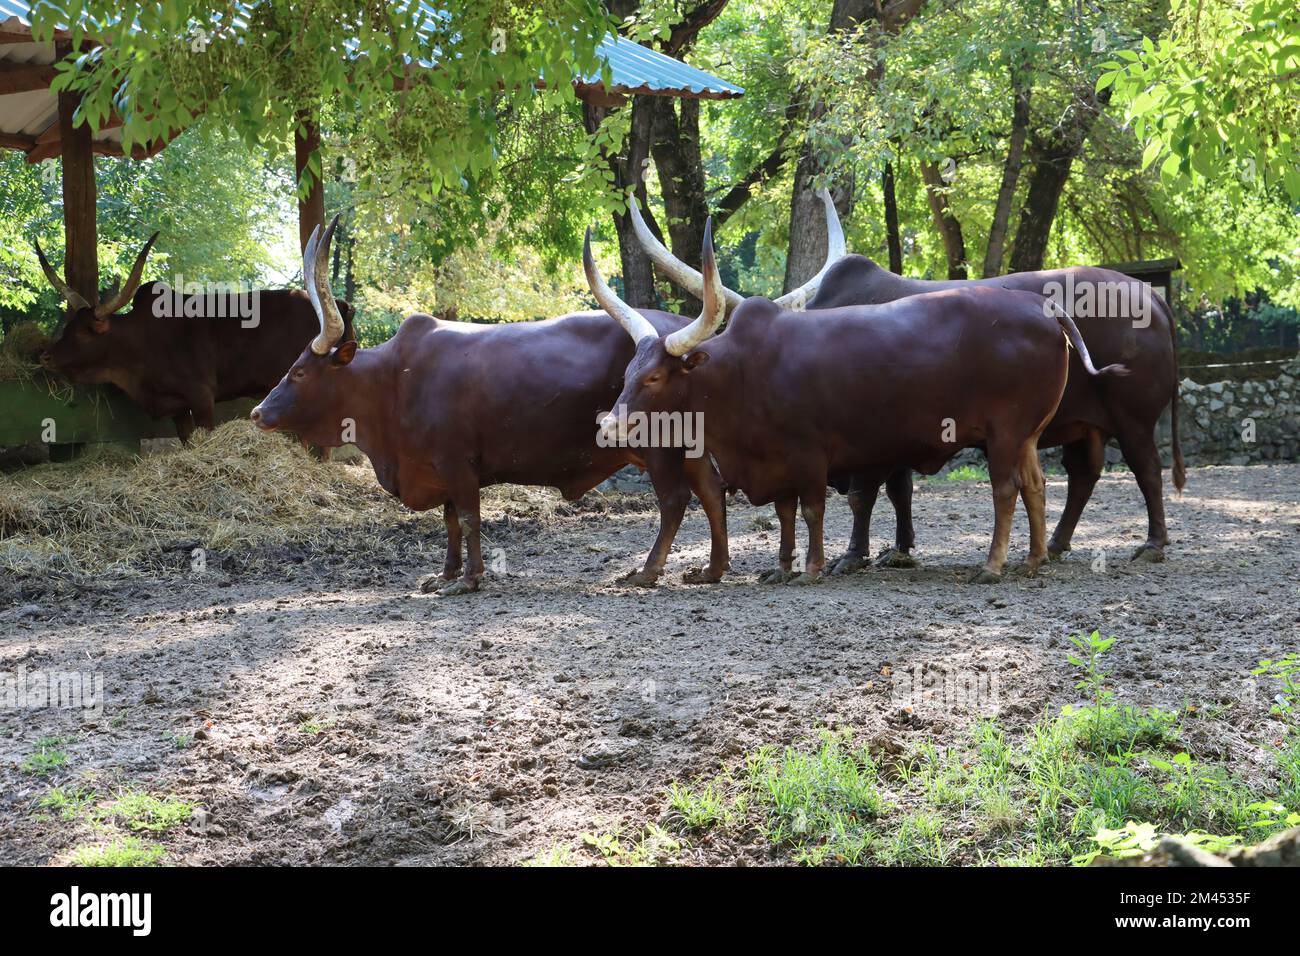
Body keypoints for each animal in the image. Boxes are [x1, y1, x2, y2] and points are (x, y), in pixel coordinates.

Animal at [36, 235, 354, 443]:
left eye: (83, 331)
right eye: (68, 324)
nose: (46, 356)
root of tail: (341, 305)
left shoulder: (202, 397)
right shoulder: (178, 408)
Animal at [249, 217, 729, 595]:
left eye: (299, 372)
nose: (256, 413)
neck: (392, 381)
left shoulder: (458, 464)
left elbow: (468, 517)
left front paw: (469, 579)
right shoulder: (439, 468)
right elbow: (450, 522)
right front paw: (445, 574)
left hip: (658, 447)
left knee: (675, 499)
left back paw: (648, 571)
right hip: (689, 446)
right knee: (711, 489)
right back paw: (714, 568)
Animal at [630, 195, 1185, 564]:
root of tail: (1152, 297)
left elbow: (864, 495)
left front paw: (857, 555)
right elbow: (896, 492)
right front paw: (897, 548)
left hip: (1132, 418)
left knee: (1147, 470)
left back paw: (1152, 544)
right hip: (1084, 426)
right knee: (1084, 474)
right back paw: (1057, 543)